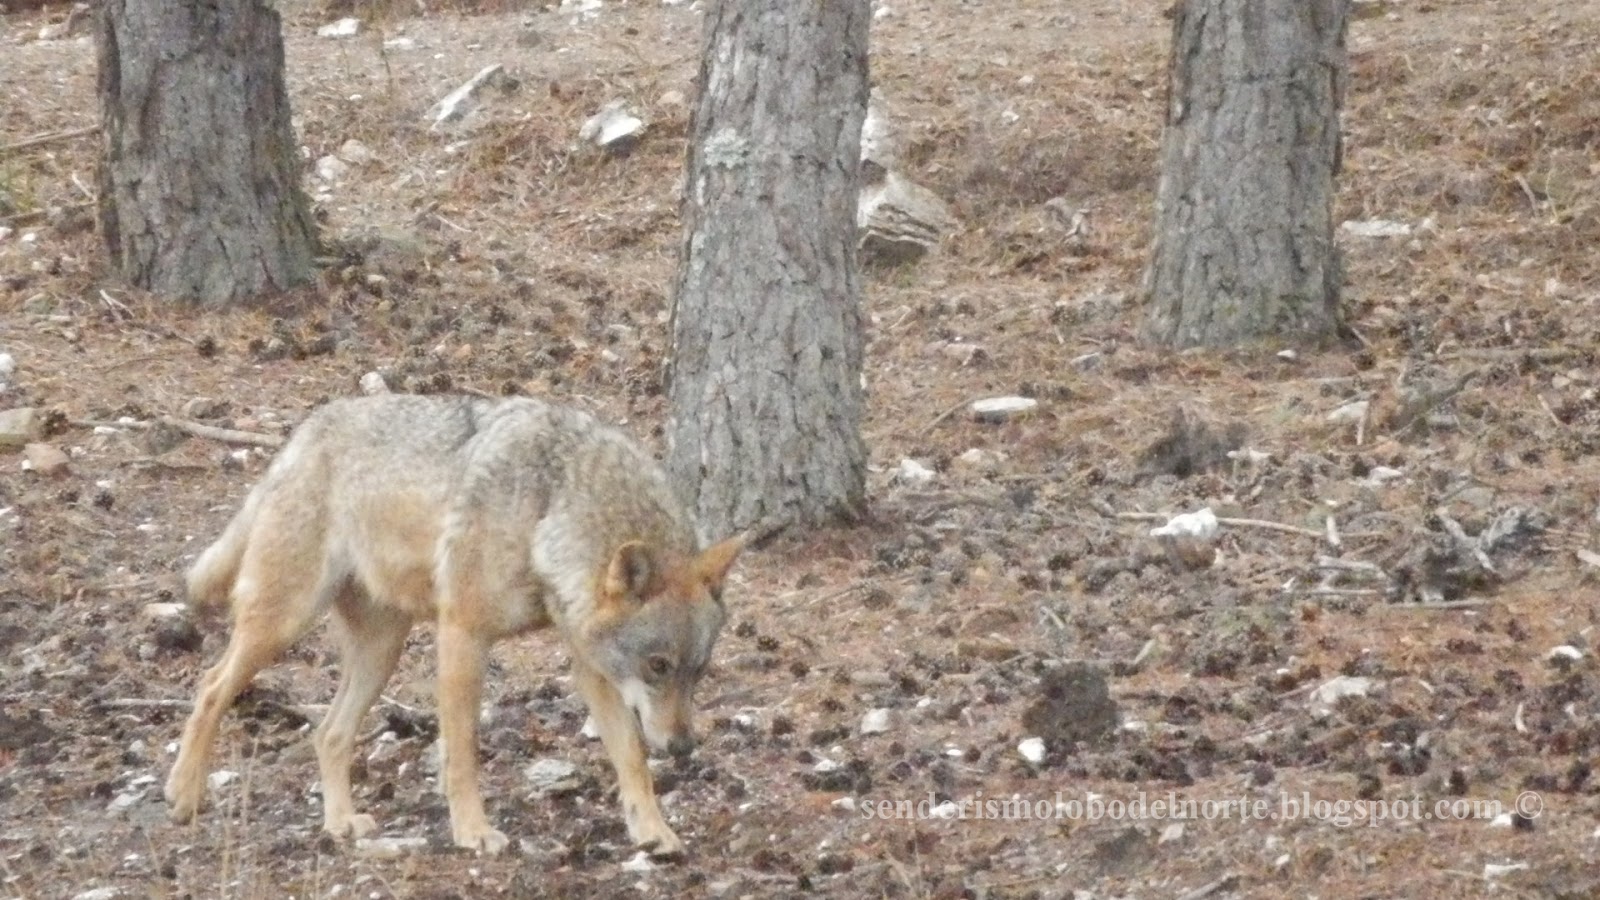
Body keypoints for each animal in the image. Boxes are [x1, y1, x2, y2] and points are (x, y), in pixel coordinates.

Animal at [163, 394, 743, 856]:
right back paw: (184, 795)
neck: (547, 509)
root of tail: (301, 435)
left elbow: (631, 758)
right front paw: (472, 832)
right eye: (658, 665)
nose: (684, 748)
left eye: (698, 671)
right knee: (211, 687)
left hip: (381, 654)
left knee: (328, 734)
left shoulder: (593, 667)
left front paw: (655, 833)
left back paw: (340, 824)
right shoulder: (463, 636)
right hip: (283, 625)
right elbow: (462, 753)